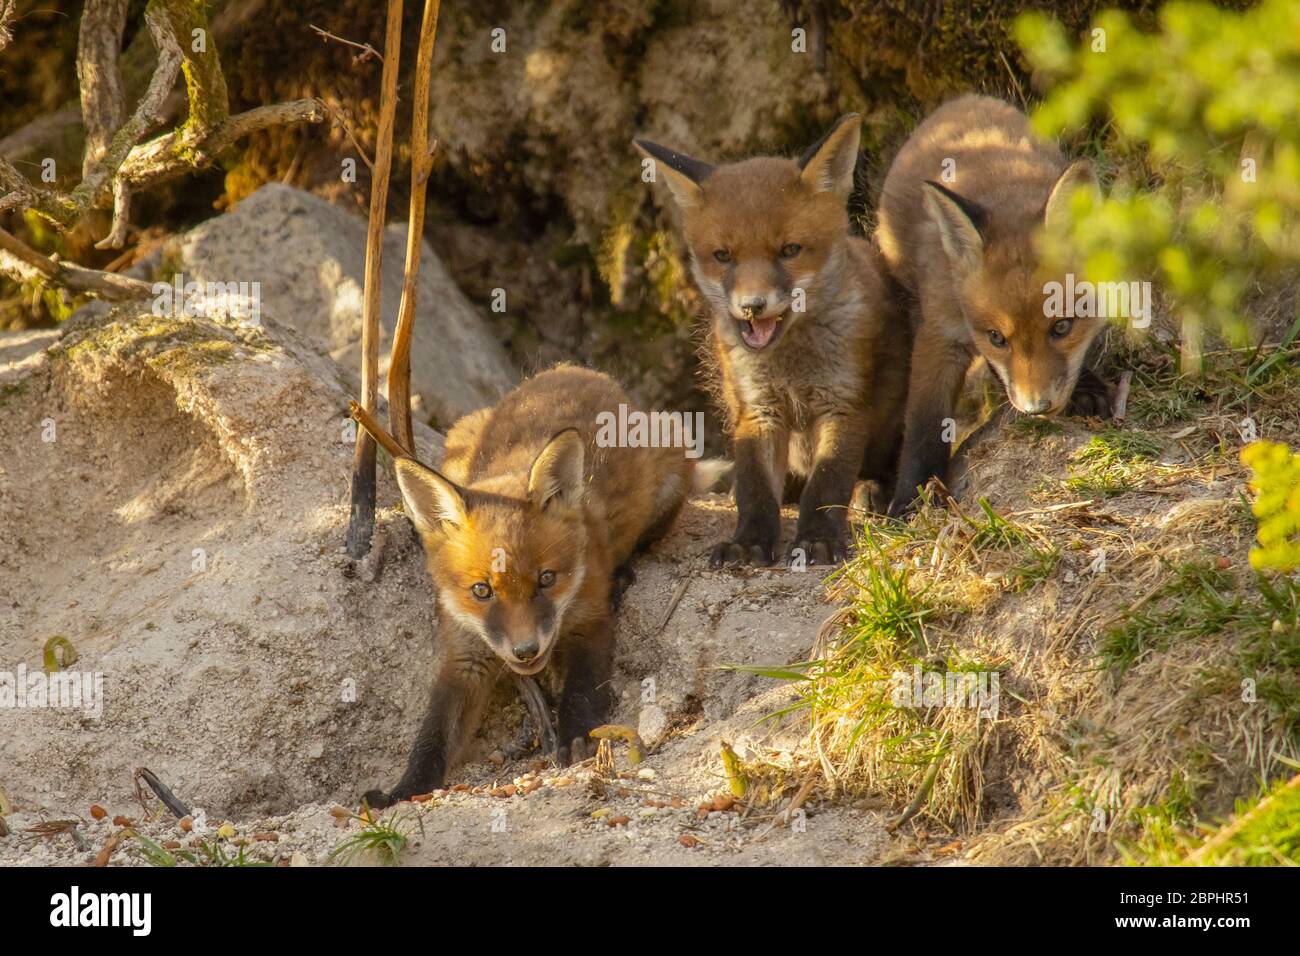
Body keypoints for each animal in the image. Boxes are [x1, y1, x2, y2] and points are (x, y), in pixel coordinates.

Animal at [361, 365, 693, 809]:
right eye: (481, 591)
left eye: (547, 579)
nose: (525, 650)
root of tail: (577, 370)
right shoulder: (465, 650)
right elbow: (433, 734)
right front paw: (403, 791)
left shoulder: (590, 618)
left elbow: (582, 687)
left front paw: (576, 737)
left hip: (672, 458)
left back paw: (624, 570)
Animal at [635, 114, 910, 567]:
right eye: (722, 256)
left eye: (790, 250)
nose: (752, 306)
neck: (791, 366)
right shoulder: (757, 409)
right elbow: (756, 489)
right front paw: (749, 542)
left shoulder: (844, 403)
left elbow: (827, 483)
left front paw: (817, 539)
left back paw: (875, 489)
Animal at [876, 94, 1111, 517]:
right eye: (997, 338)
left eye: (1062, 327)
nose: (1037, 408)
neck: (1005, 191)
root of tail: (963, 100)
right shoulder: (940, 332)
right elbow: (924, 425)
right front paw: (909, 500)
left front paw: (1087, 386)